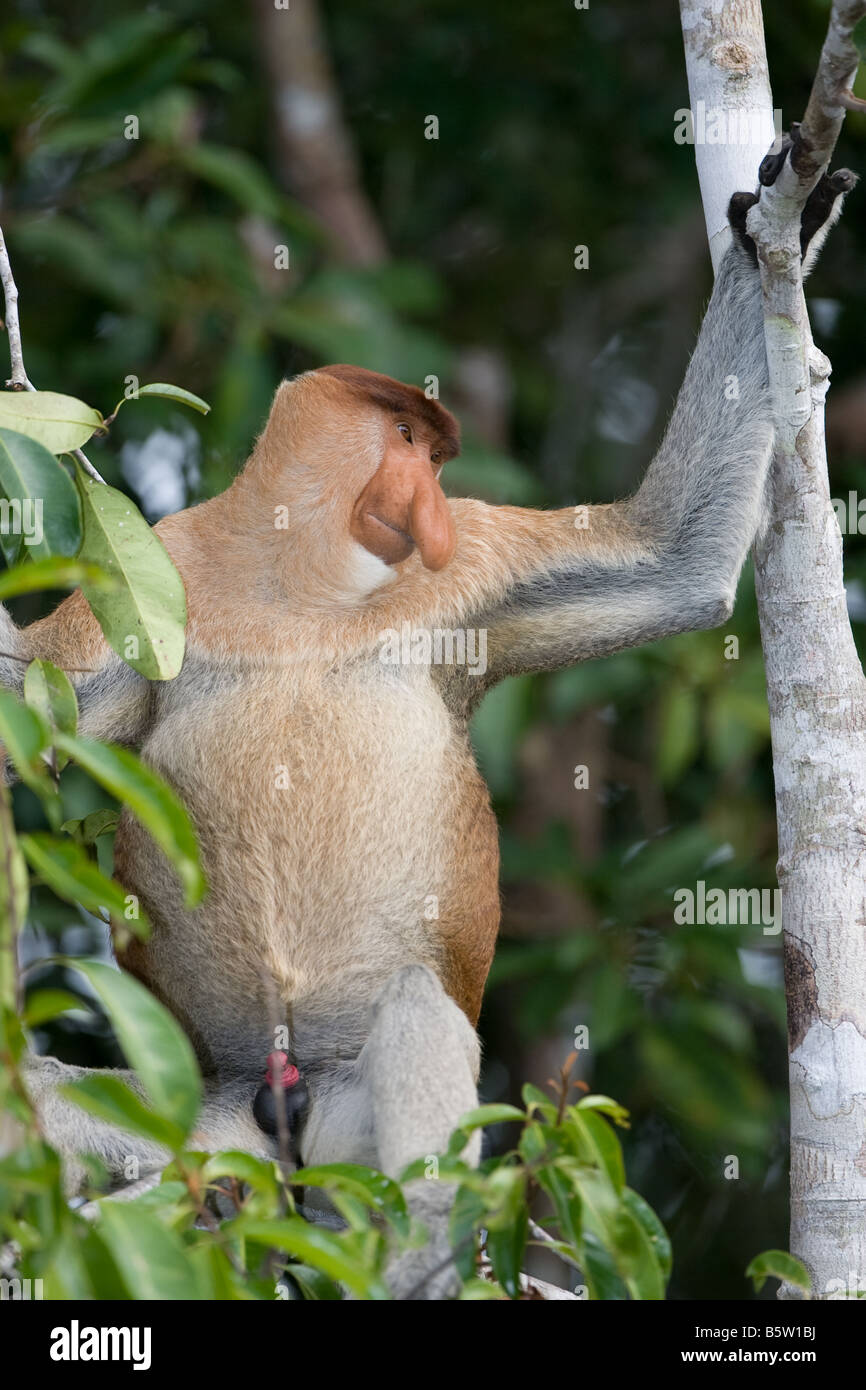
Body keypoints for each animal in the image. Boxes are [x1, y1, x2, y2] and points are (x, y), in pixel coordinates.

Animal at [0, 147, 855, 1298]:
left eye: (441, 461)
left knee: (411, 1012)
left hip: (344, 1118)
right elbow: (27, 700)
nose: (433, 506)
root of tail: (278, 1116)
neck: (302, 588)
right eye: (405, 437)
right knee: (48, 1099)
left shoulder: (469, 572)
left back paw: (416, 1257)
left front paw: (783, 221)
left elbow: (671, 560)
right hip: (198, 1111)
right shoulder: (150, 572)